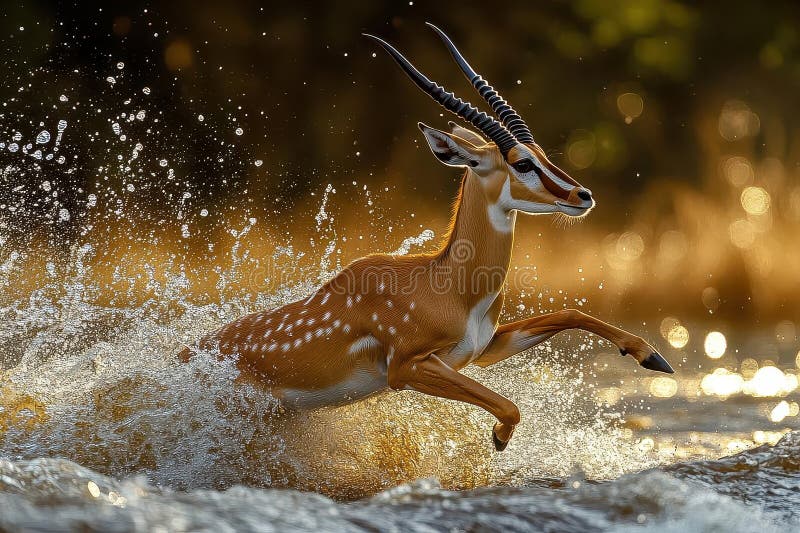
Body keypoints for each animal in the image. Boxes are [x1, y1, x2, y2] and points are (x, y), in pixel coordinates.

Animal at [180, 23, 673, 451]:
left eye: (542, 153)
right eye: (520, 162)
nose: (581, 195)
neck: (446, 284)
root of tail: (185, 355)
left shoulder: (480, 350)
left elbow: (571, 311)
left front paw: (653, 356)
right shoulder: (406, 369)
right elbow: (509, 406)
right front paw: (498, 439)